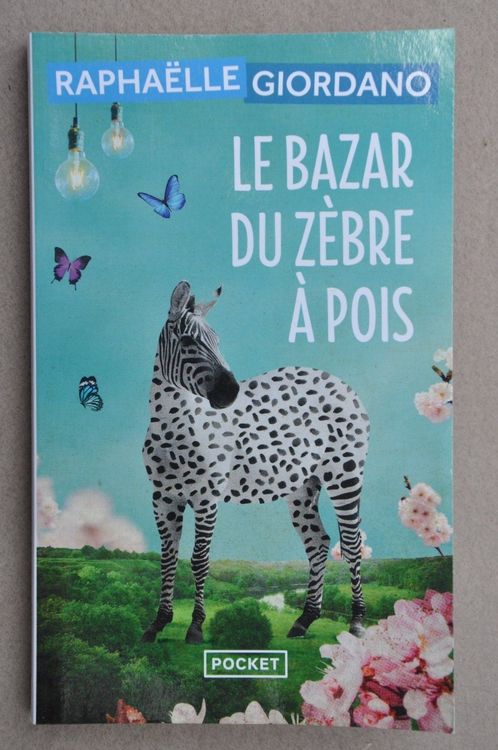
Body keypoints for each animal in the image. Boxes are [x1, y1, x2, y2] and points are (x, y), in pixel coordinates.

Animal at [142, 280, 370, 644]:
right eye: (188, 341)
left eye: (218, 340)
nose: (230, 392)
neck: (172, 424)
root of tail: (336, 380)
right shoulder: (163, 497)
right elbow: (168, 558)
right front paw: (158, 622)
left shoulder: (206, 497)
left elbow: (199, 559)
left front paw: (195, 627)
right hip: (302, 486)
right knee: (318, 543)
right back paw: (305, 619)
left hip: (345, 477)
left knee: (352, 542)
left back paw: (357, 620)